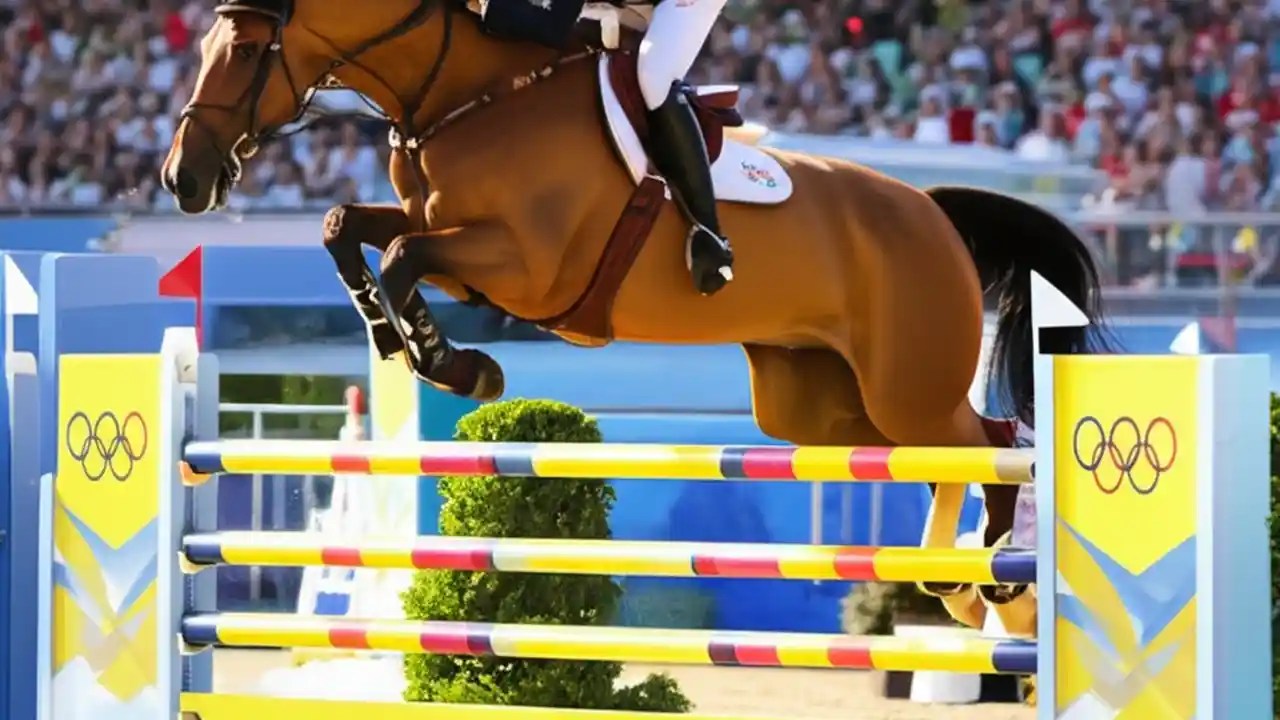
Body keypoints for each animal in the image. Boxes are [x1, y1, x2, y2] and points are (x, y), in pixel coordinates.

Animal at [160, 0, 1110, 636]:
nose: (182, 178)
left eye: (248, 47)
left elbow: (400, 256)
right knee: (945, 453)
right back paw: (957, 583)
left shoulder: (527, 266)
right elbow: (347, 229)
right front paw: (398, 336)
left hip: (906, 382)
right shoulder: (463, 249)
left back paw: (997, 585)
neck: (473, 93)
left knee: (992, 442)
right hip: (822, 405)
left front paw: (455, 365)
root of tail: (933, 210)